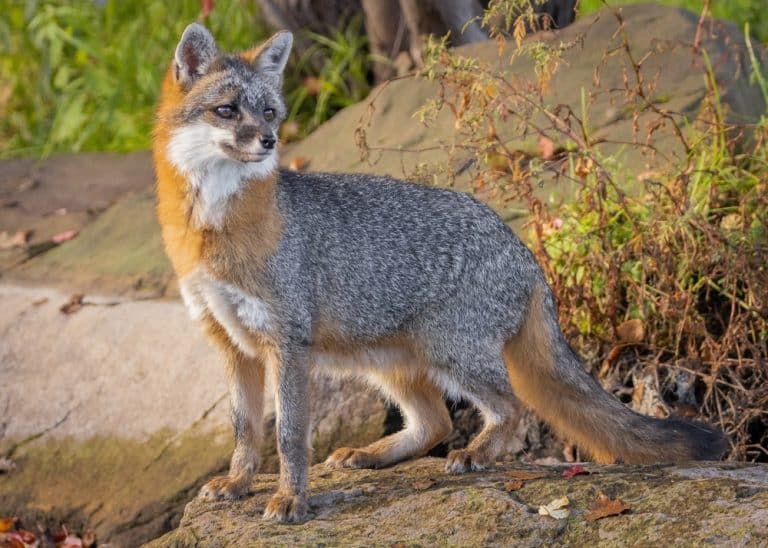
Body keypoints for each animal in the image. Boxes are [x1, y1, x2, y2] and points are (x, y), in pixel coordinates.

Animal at [153, 24, 726, 523]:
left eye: (270, 112)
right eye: (227, 111)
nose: (270, 140)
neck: (213, 229)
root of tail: (523, 250)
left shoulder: (286, 343)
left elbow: (289, 436)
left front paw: (291, 499)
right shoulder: (232, 344)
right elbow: (245, 431)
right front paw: (238, 484)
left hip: (448, 352)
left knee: (510, 407)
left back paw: (475, 453)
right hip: (389, 363)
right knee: (436, 422)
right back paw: (374, 454)